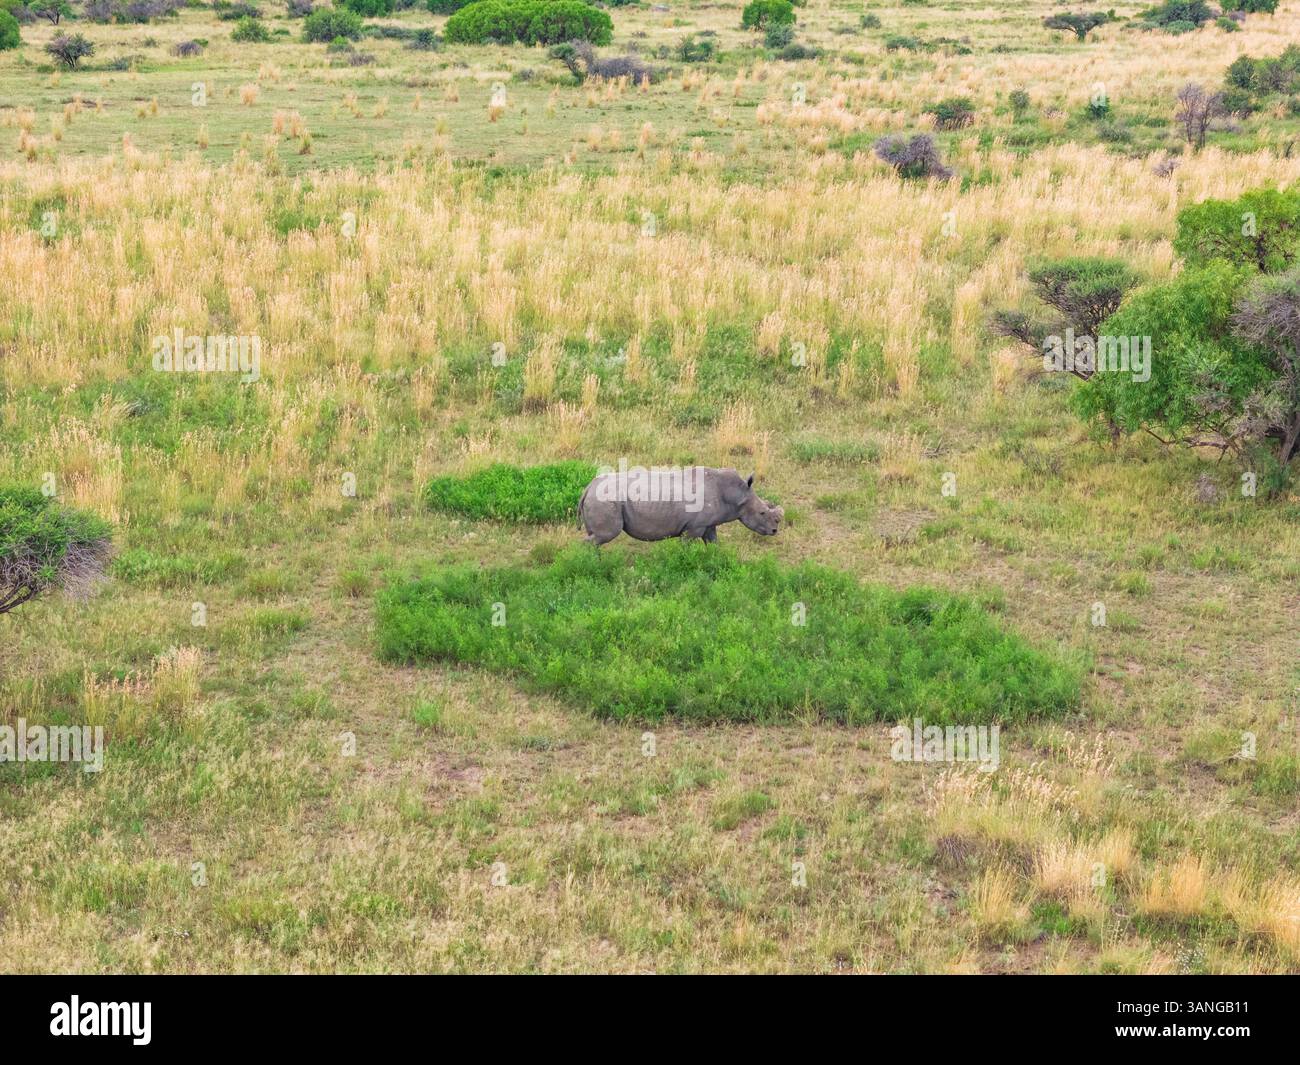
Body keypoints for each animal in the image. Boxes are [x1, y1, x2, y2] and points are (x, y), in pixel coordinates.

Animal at [578, 465, 783, 545]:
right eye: (762, 512)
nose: (774, 531)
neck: (736, 493)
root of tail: (588, 488)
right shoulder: (694, 527)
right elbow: (686, 547)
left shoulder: (709, 524)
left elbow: (714, 544)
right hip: (604, 500)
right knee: (605, 534)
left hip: (600, 499)